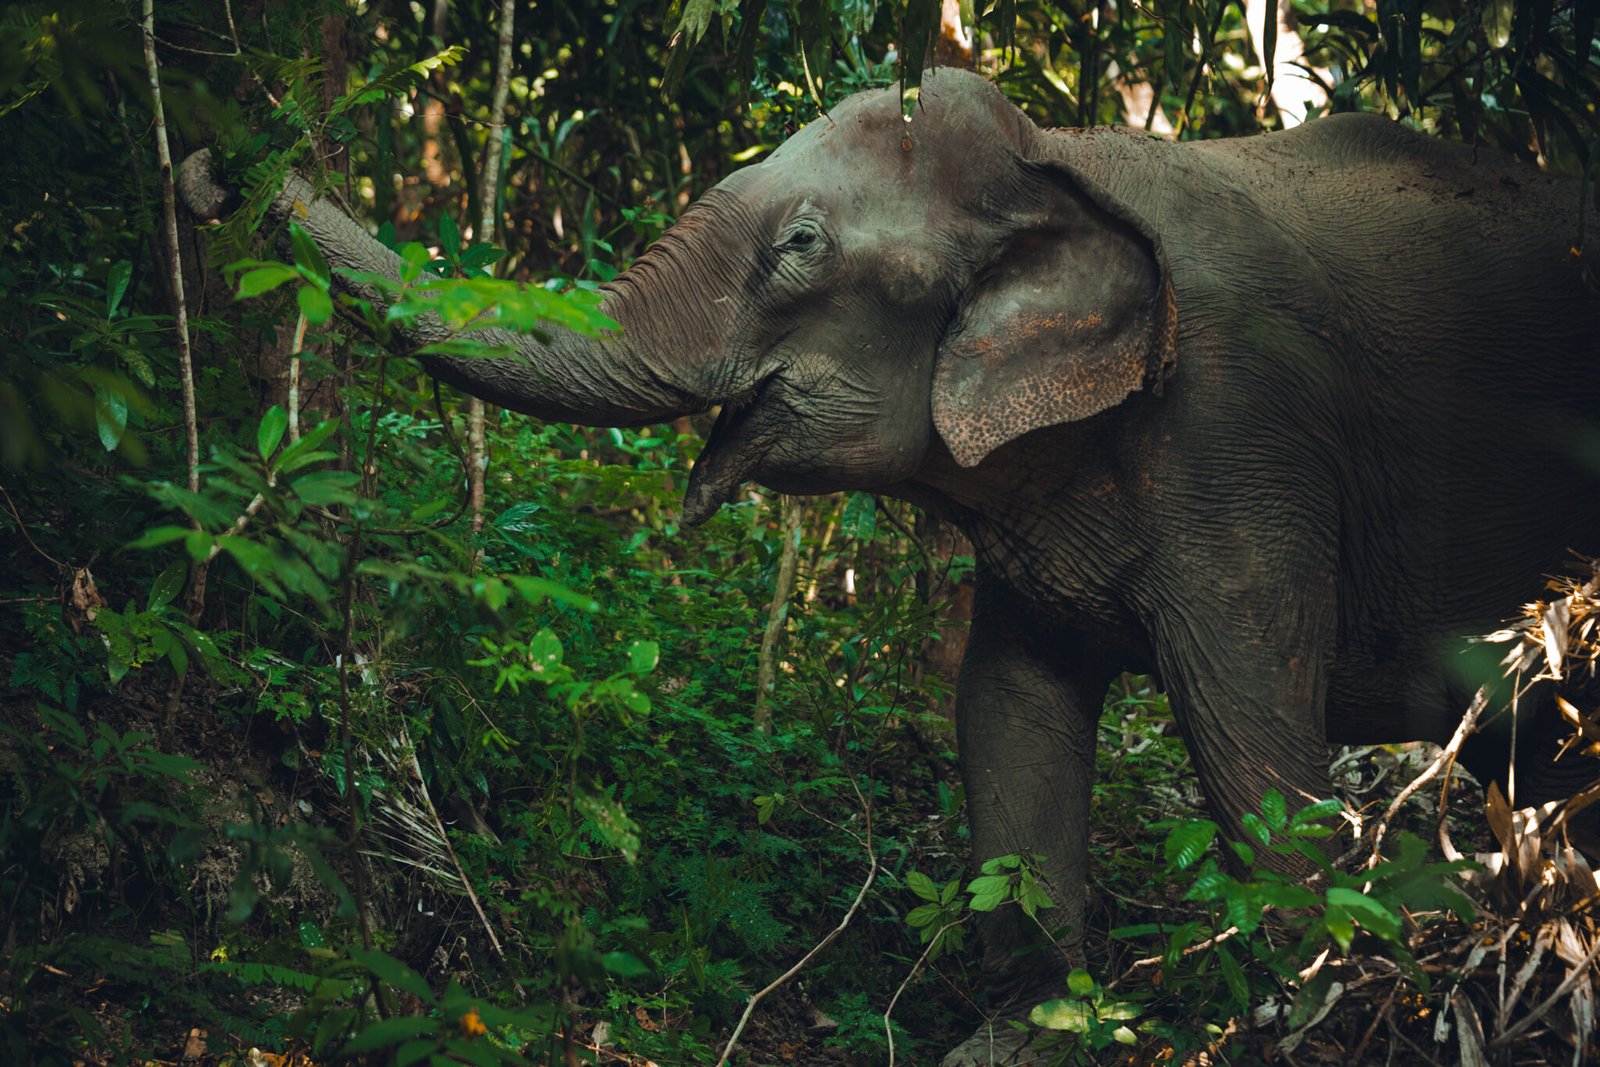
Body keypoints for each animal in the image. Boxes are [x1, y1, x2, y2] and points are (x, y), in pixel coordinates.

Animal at [181, 68, 1600, 1063]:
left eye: (800, 248)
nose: (210, 163)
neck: (1063, 156)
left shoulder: (1244, 442)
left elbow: (1247, 738)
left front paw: (1307, 1015)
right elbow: (1008, 713)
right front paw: (1021, 1036)